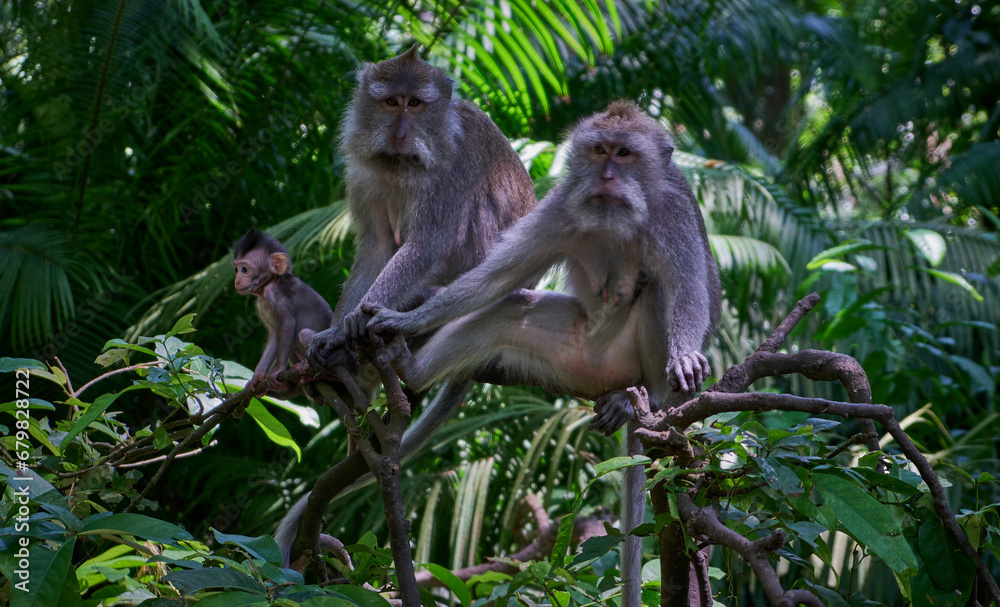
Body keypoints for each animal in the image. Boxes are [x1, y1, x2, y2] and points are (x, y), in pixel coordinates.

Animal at [232, 228, 334, 395]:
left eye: (244, 269)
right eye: (236, 269)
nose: (237, 280)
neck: (270, 283)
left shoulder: (274, 296)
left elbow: (288, 324)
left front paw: (278, 369)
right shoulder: (261, 305)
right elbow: (275, 334)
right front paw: (257, 377)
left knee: (303, 333)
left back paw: (311, 367)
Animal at [366, 101, 721, 607]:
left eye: (625, 154)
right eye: (598, 150)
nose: (606, 177)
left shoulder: (673, 213)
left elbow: (693, 289)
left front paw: (686, 358)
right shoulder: (562, 204)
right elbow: (499, 277)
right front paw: (406, 320)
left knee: (657, 290)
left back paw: (644, 397)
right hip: (575, 358)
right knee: (510, 307)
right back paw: (411, 370)